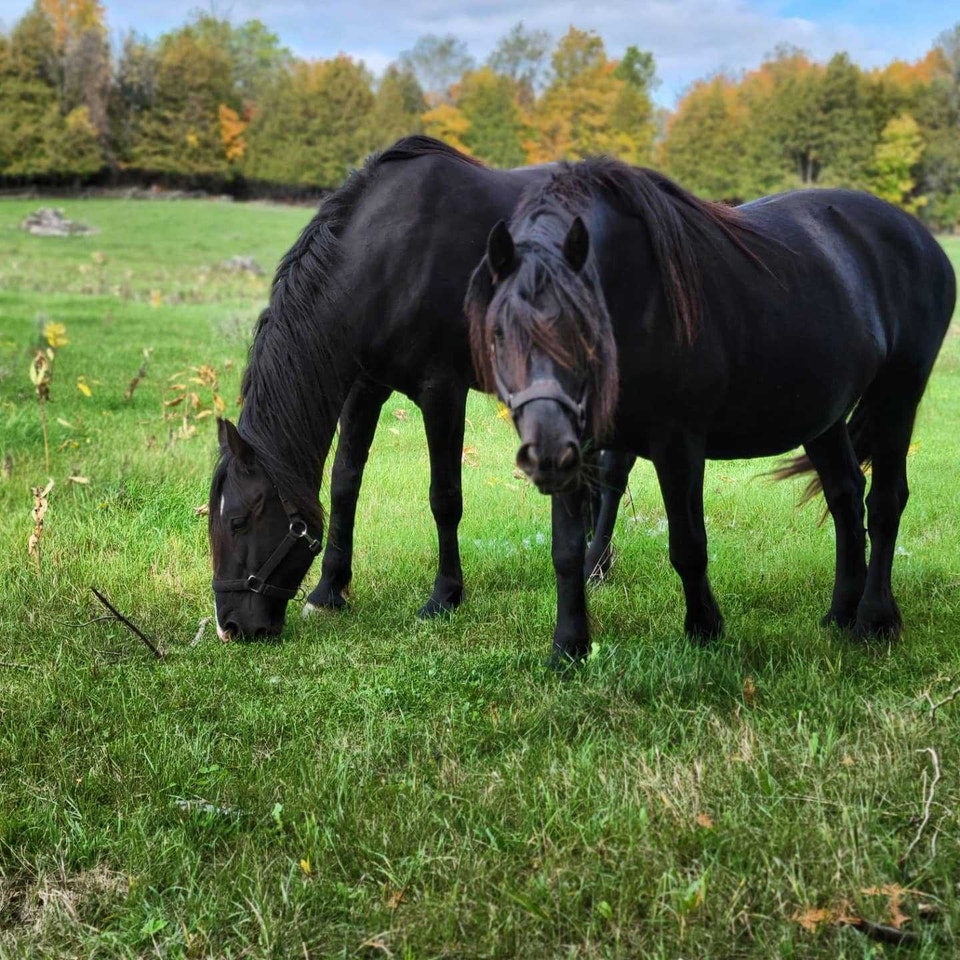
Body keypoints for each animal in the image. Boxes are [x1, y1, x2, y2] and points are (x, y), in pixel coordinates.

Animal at [208, 137, 630, 640]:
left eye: (237, 521)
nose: (230, 626)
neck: (387, 256)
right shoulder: (364, 387)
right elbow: (345, 483)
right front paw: (329, 590)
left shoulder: (442, 393)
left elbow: (444, 497)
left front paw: (444, 595)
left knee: (613, 473)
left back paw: (595, 564)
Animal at [466, 158, 955, 666]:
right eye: (498, 332)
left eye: (585, 329)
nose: (544, 453)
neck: (641, 295)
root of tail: (920, 239)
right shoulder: (580, 448)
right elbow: (565, 552)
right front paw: (568, 646)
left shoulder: (678, 445)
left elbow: (687, 545)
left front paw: (704, 629)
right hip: (825, 416)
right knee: (844, 494)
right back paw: (841, 611)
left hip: (899, 396)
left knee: (885, 502)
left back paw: (875, 620)